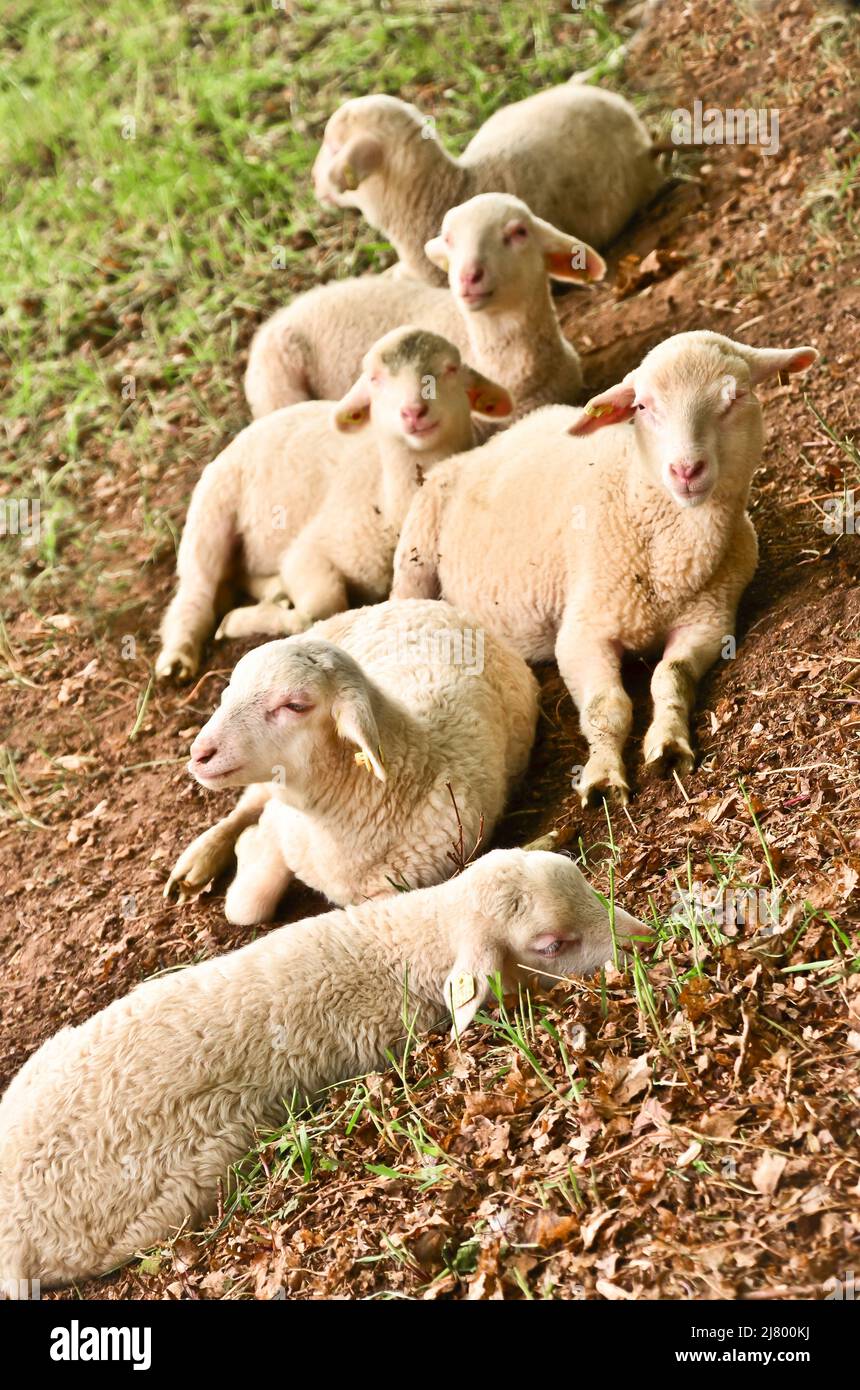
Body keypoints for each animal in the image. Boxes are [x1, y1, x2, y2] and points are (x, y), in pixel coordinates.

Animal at [156, 326, 511, 682]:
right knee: (196, 594)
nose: (413, 412)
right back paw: (178, 656)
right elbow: (320, 608)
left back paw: (274, 591)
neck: (386, 502)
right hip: (211, 512)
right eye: (374, 379)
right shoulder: (309, 551)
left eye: (450, 369)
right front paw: (238, 621)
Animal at [163, 597, 539, 925]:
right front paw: (249, 846)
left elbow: (246, 906)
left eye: (295, 706)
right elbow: (247, 906)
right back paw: (196, 862)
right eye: (227, 692)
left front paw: (249, 844)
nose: (199, 754)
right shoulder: (284, 821)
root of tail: (429, 603)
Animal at [391, 331, 819, 806]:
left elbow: (671, 678)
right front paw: (602, 777)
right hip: (415, 551)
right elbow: (606, 707)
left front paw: (668, 745)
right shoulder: (582, 633)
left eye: (736, 397)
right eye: (643, 406)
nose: (685, 470)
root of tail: (490, 444)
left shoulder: (710, 620)